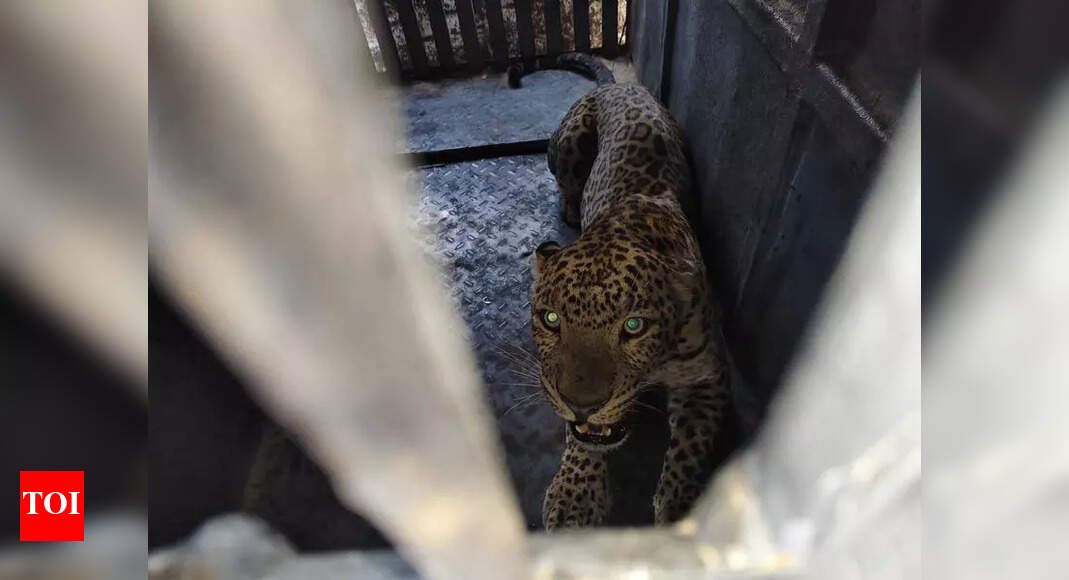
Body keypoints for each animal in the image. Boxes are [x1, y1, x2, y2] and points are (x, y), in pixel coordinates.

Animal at [531, 55, 731, 530]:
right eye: (551, 320)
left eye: (634, 326)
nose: (582, 404)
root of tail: (618, 86)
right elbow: (581, 437)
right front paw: (574, 495)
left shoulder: (708, 379)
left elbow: (690, 448)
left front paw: (680, 508)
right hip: (567, 146)